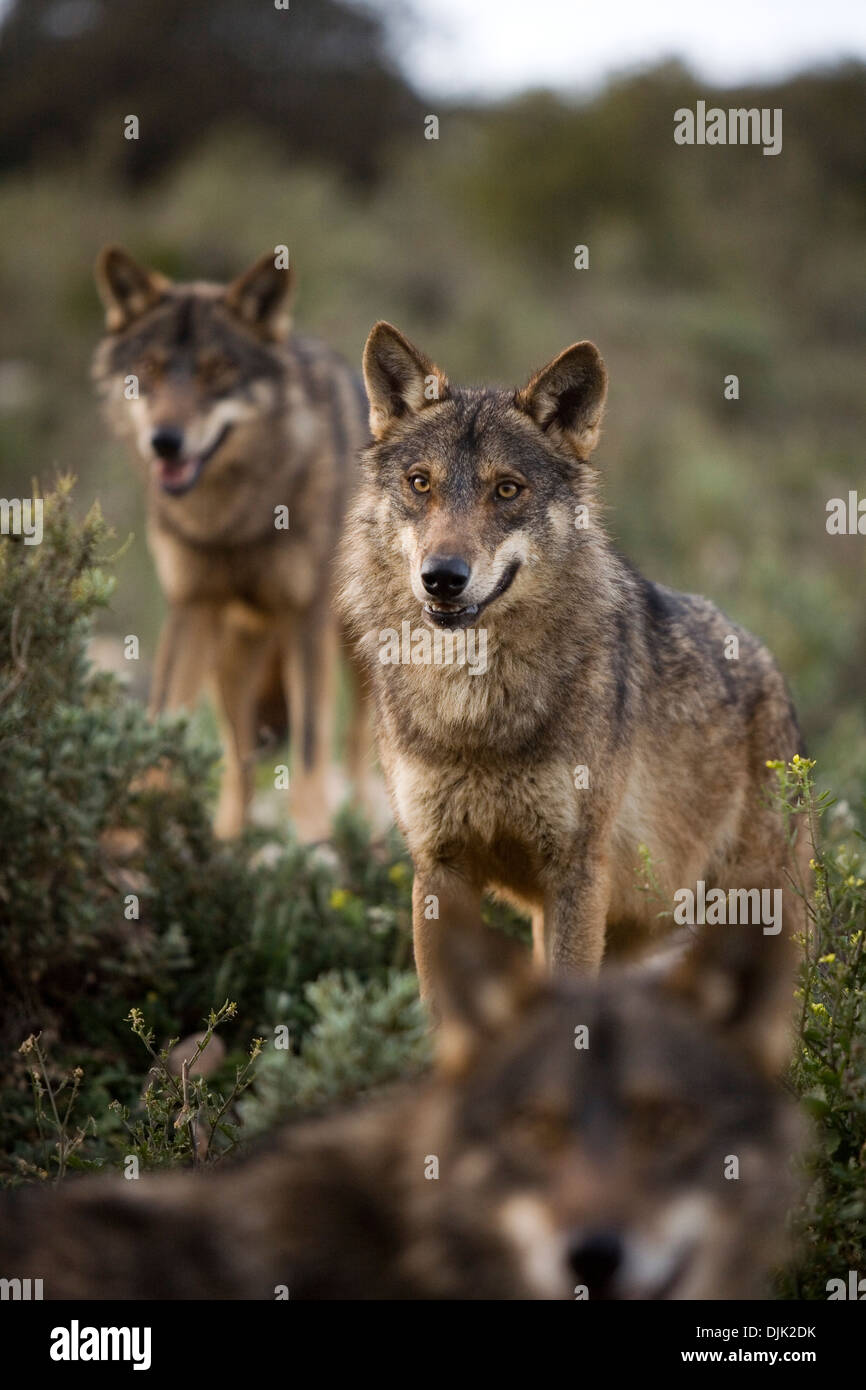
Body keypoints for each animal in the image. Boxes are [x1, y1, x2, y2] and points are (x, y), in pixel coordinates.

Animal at [93, 247, 372, 840]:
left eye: (217, 372)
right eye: (149, 370)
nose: (165, 441)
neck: (234, 517)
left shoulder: (307, 616)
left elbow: (311, 747)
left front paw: (311, 840)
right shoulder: (191, 608)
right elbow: (163, 720)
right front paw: (133, 830)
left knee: (361, 746)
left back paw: (364, 832)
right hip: (230, 658)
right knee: (240, 759)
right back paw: (228, 839)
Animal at [337, 323, 809, 997]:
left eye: (507, 488)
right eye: (421, 482)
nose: (442, 578)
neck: (473, 712)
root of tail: (772, 670)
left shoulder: (578, 872)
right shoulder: (438, 869)